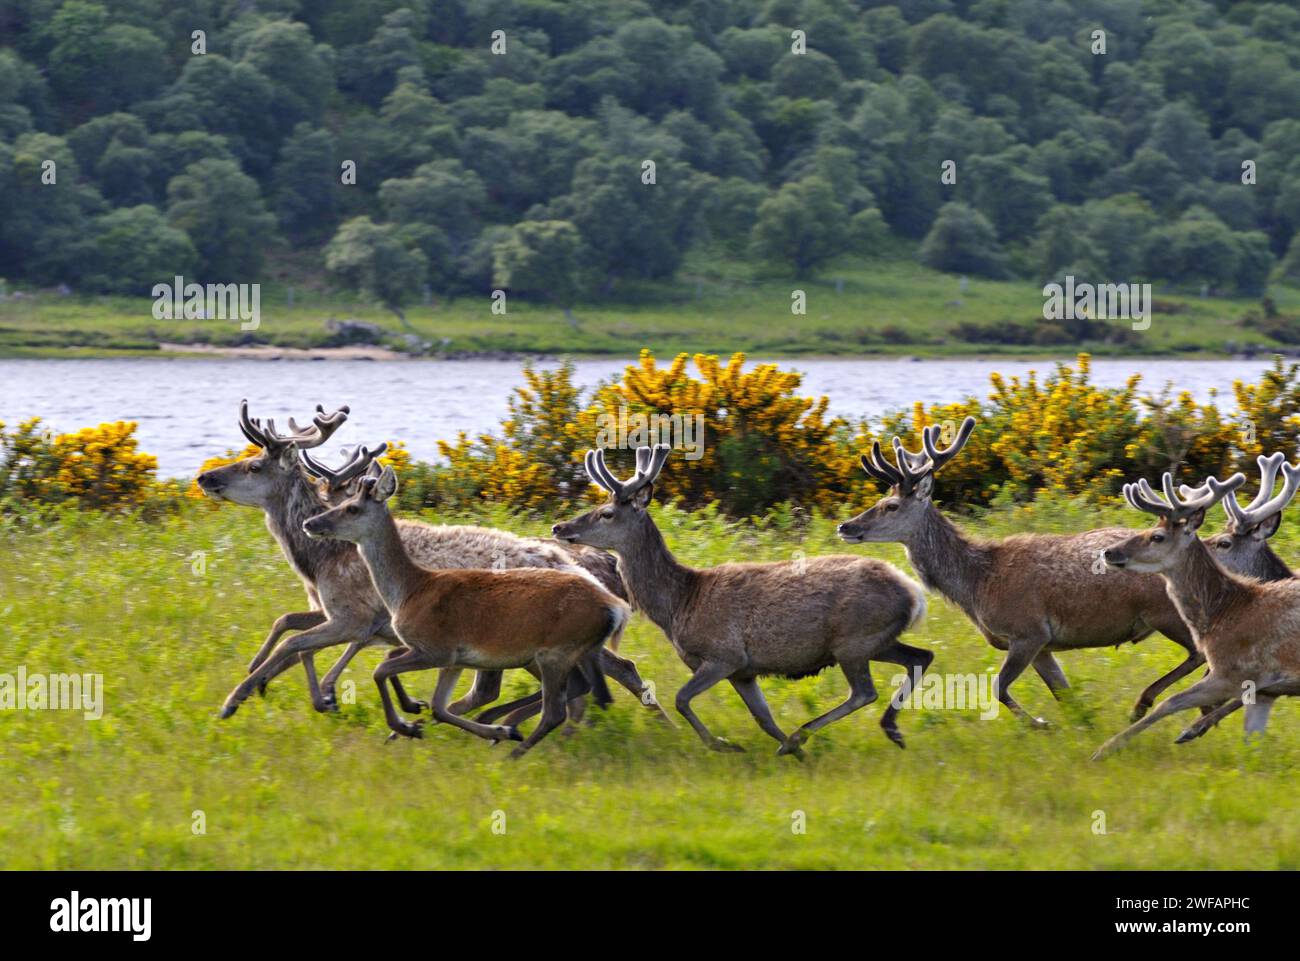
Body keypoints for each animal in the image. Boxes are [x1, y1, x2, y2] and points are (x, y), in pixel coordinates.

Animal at [196, 402, 661, 725]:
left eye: (254, 465)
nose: (205, 477)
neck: (319, 561)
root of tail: (588, 570)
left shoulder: (352, 615)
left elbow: (297, 644)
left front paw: (238, 698)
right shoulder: (341, 614)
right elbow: (289, 628)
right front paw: (278, 684)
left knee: (612, 671)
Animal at [301, 463, 631, 758]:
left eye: (352, 508)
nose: (310, 524)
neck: (410, 590)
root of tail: (617, 610)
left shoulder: (437, 648)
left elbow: (381, 671)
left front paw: (407, 725)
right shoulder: (455, 659)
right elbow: (437, 706)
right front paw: (420, 722)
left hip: (555, 651)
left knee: (558, 708)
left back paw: (513, 749)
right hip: (564, 653)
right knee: (584, 689)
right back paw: (510, 733)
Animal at [551, 444, 933, 757]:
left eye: (606, 513)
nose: (559, 527)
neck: (679, 603)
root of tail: (913, 593)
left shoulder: (724, 655)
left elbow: (681, 698)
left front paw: (725, 745)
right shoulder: (744, 671)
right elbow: (764, 718)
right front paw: (796, 754)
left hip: (852, 640)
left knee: (864, 692)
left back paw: (811, 732)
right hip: (875, 641)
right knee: (920, 657)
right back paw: (885, 730)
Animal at [837, 416, 1205, 726]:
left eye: (891, 506)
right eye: (880, 500)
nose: (845, 526)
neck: (977, 583)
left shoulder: (1028, 631)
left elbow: (997, 688)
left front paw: (1040, 725)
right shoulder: (1043, 645)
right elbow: (1065, 695)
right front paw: (1081, 729)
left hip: (1166, 613)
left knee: (1200, 654)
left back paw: (1148, 704)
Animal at [1092, 466, 1300, 758]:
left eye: (1157, 536)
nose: (1109, 551)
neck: (1226, 610)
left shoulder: (1234, 673)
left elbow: (1169, 702)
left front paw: (1107, 748)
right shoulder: (1260, 689)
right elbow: (1251, 745)